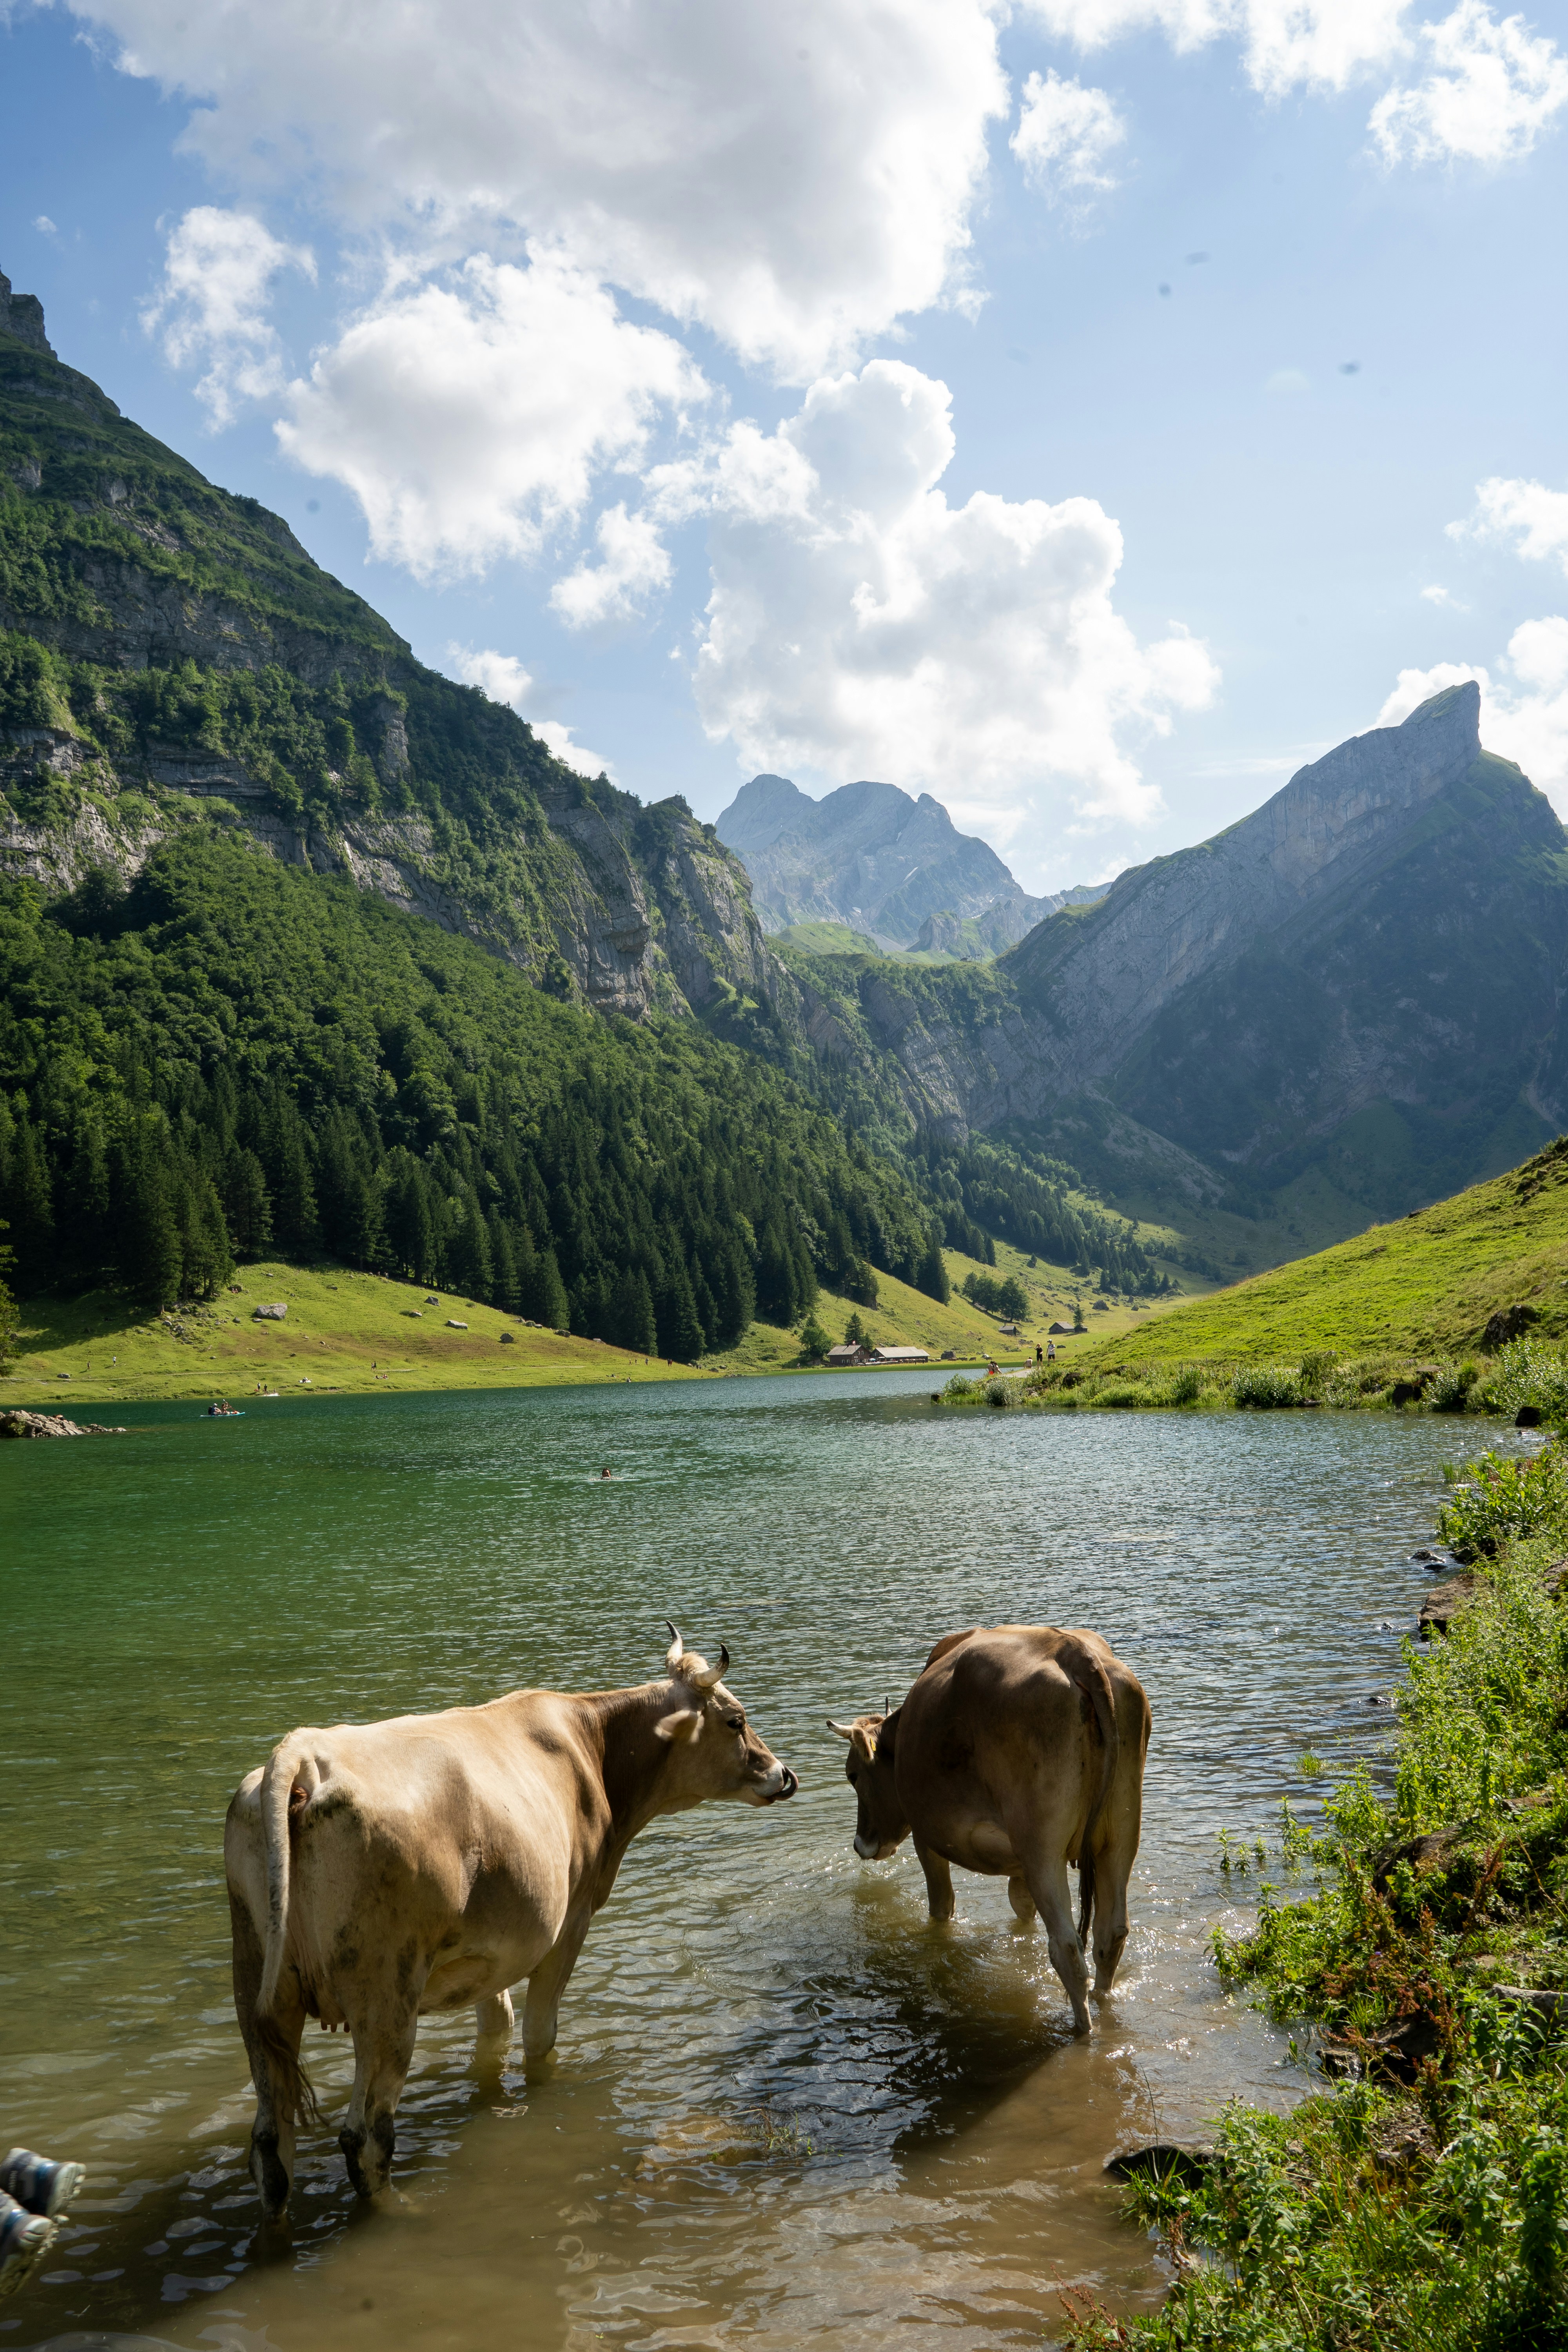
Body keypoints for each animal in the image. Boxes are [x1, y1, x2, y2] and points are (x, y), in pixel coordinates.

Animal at [225, 1626, 796, 2216]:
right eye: (736, 1720)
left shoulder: (490, 1950)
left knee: (270, 2140)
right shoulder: (570, 1922)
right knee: (365, 2135)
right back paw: (405, 2211)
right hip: (385, 1993)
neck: (595, 1748)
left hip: (256, 1982)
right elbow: (539, 2033)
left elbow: (495, 2025)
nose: (784, 1775)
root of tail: (303, 1750)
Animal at [828, 1624, 1150, 2034]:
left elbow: (942, 1906)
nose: (861, 1844)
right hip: (1121, 1837)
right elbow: (1021, 1905)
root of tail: (1073, 1651)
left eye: (853, 1775)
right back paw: (1102, 2003)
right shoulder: (1019, 1864)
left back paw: (1083, 2029)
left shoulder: (927, 1838)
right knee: (1111, 1935)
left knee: (1066, 1948)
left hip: (1042, 1849)